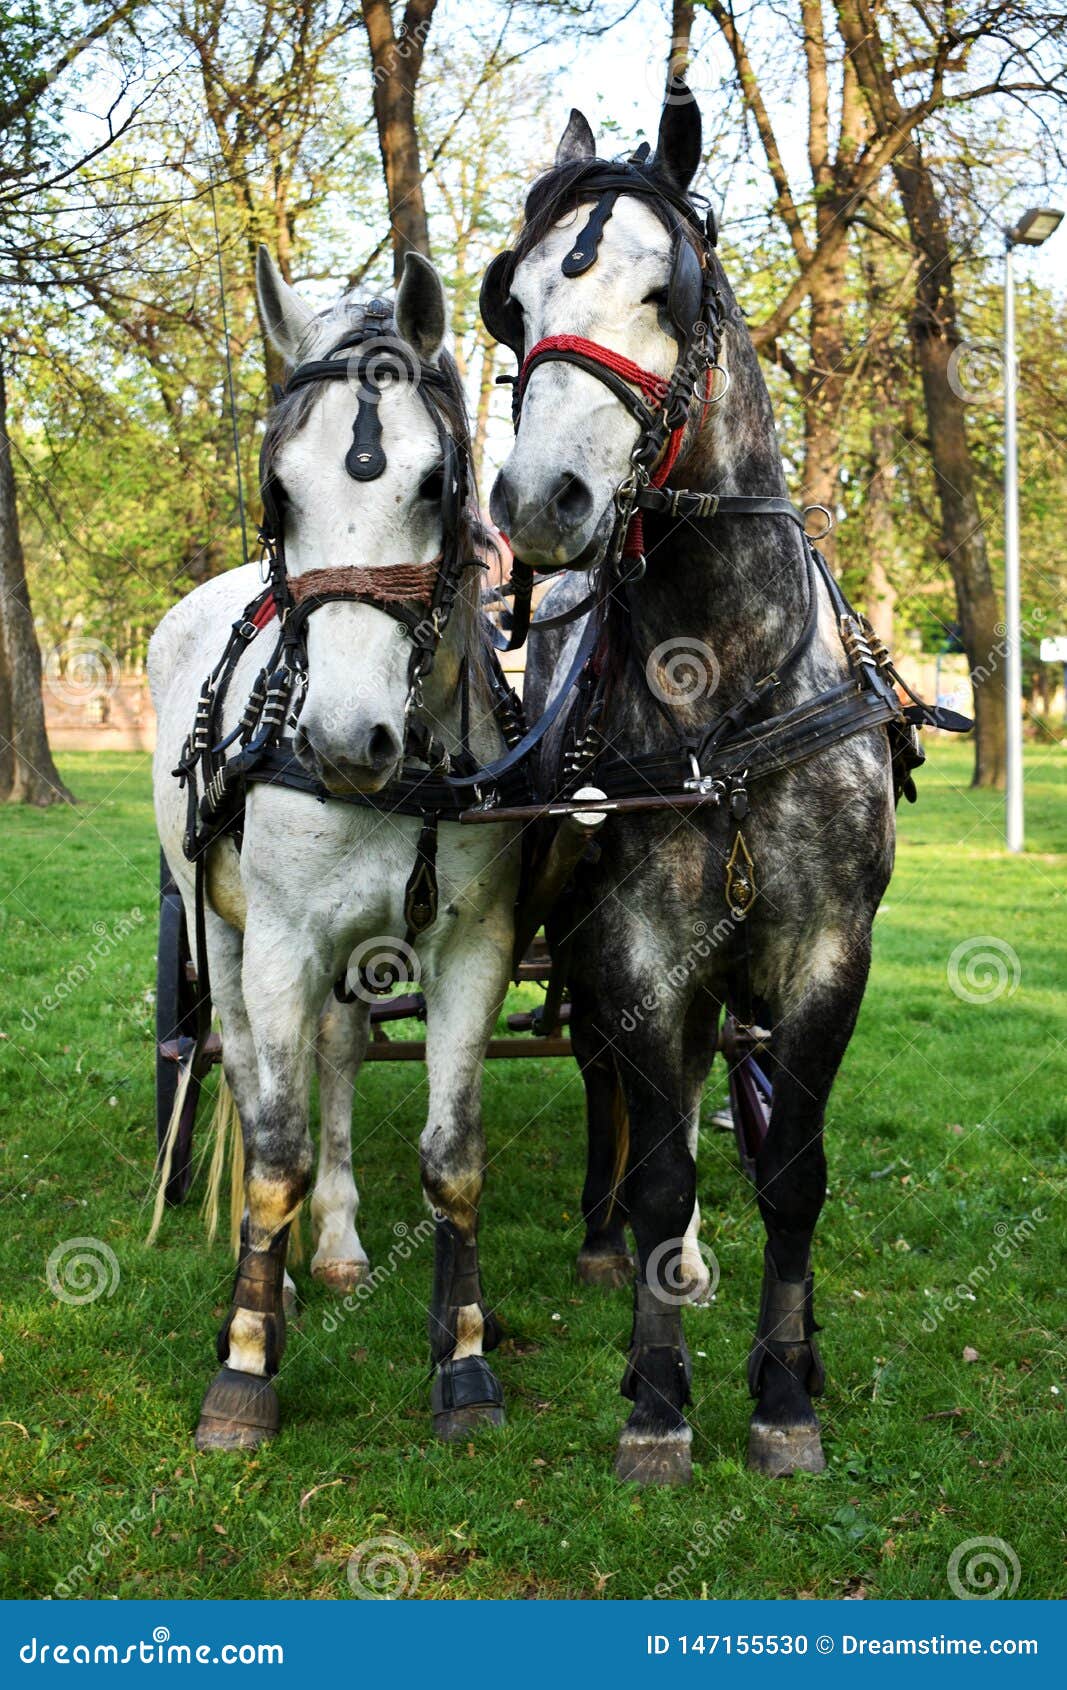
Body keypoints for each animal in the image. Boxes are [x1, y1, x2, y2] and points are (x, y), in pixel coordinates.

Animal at [149, 249, 520, 1450]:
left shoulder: (472, 949)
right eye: (280, 492)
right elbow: (273, 1150)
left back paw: (341, 1240)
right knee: (248, 1064)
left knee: (340, 1056)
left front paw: (463, 1356)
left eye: (436, 486)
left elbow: (453, 1158)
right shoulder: (278, 941)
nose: (347, 741)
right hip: (218, 930)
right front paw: (245, 1358)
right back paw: (262, 1279)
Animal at [482, 88, 907, 1486]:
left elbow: (792, 1174)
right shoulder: (634, 946)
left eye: (664, 289)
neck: (721, 685)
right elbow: (668, 1169)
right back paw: (604, 1236)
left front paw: (783, 1388)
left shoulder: (827, 949)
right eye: (511, 305)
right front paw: (658, 1396)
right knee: (608, 1083)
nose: (536, 499)